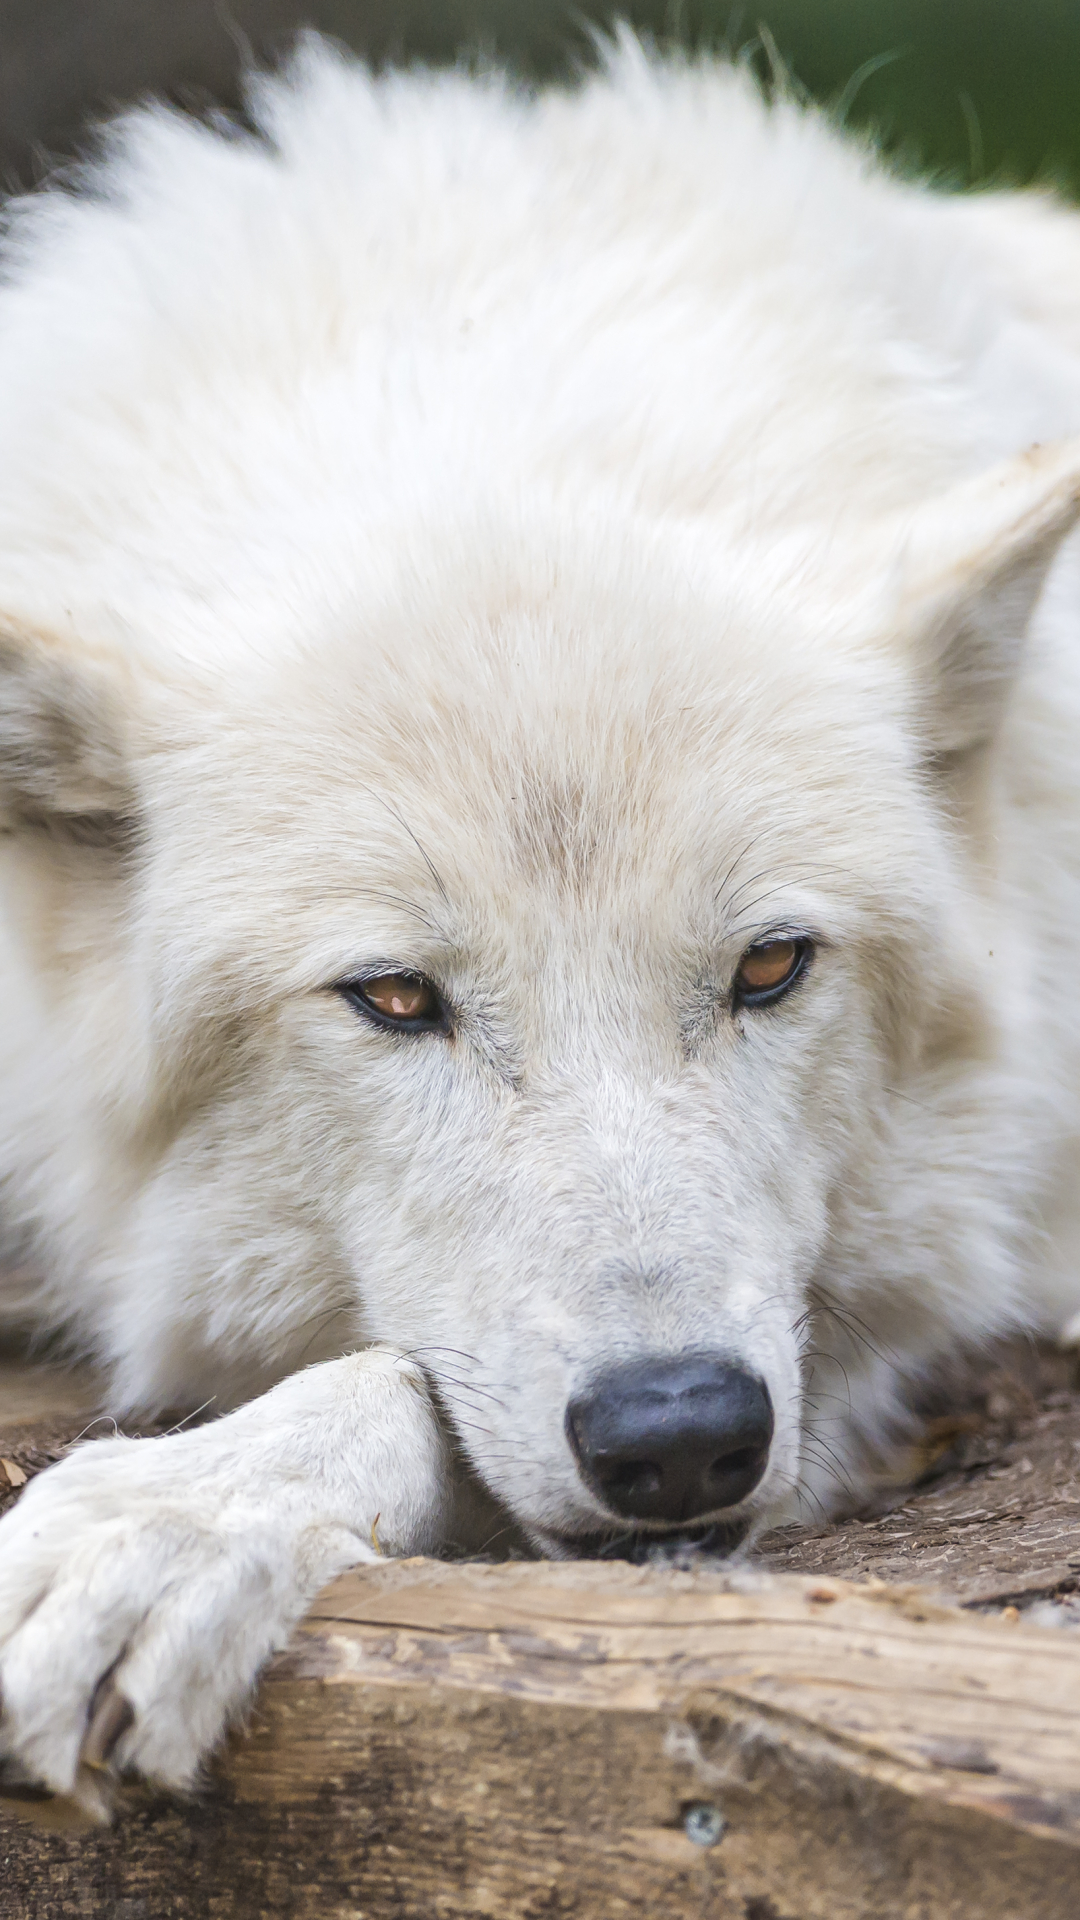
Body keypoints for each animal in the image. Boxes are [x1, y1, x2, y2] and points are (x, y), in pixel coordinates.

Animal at [2, 29, 1080, 1817]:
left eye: (770, 967)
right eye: (393, 998)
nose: (681, 1435)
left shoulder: (875, 1330)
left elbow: (402, 1383)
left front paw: (173, 1520)